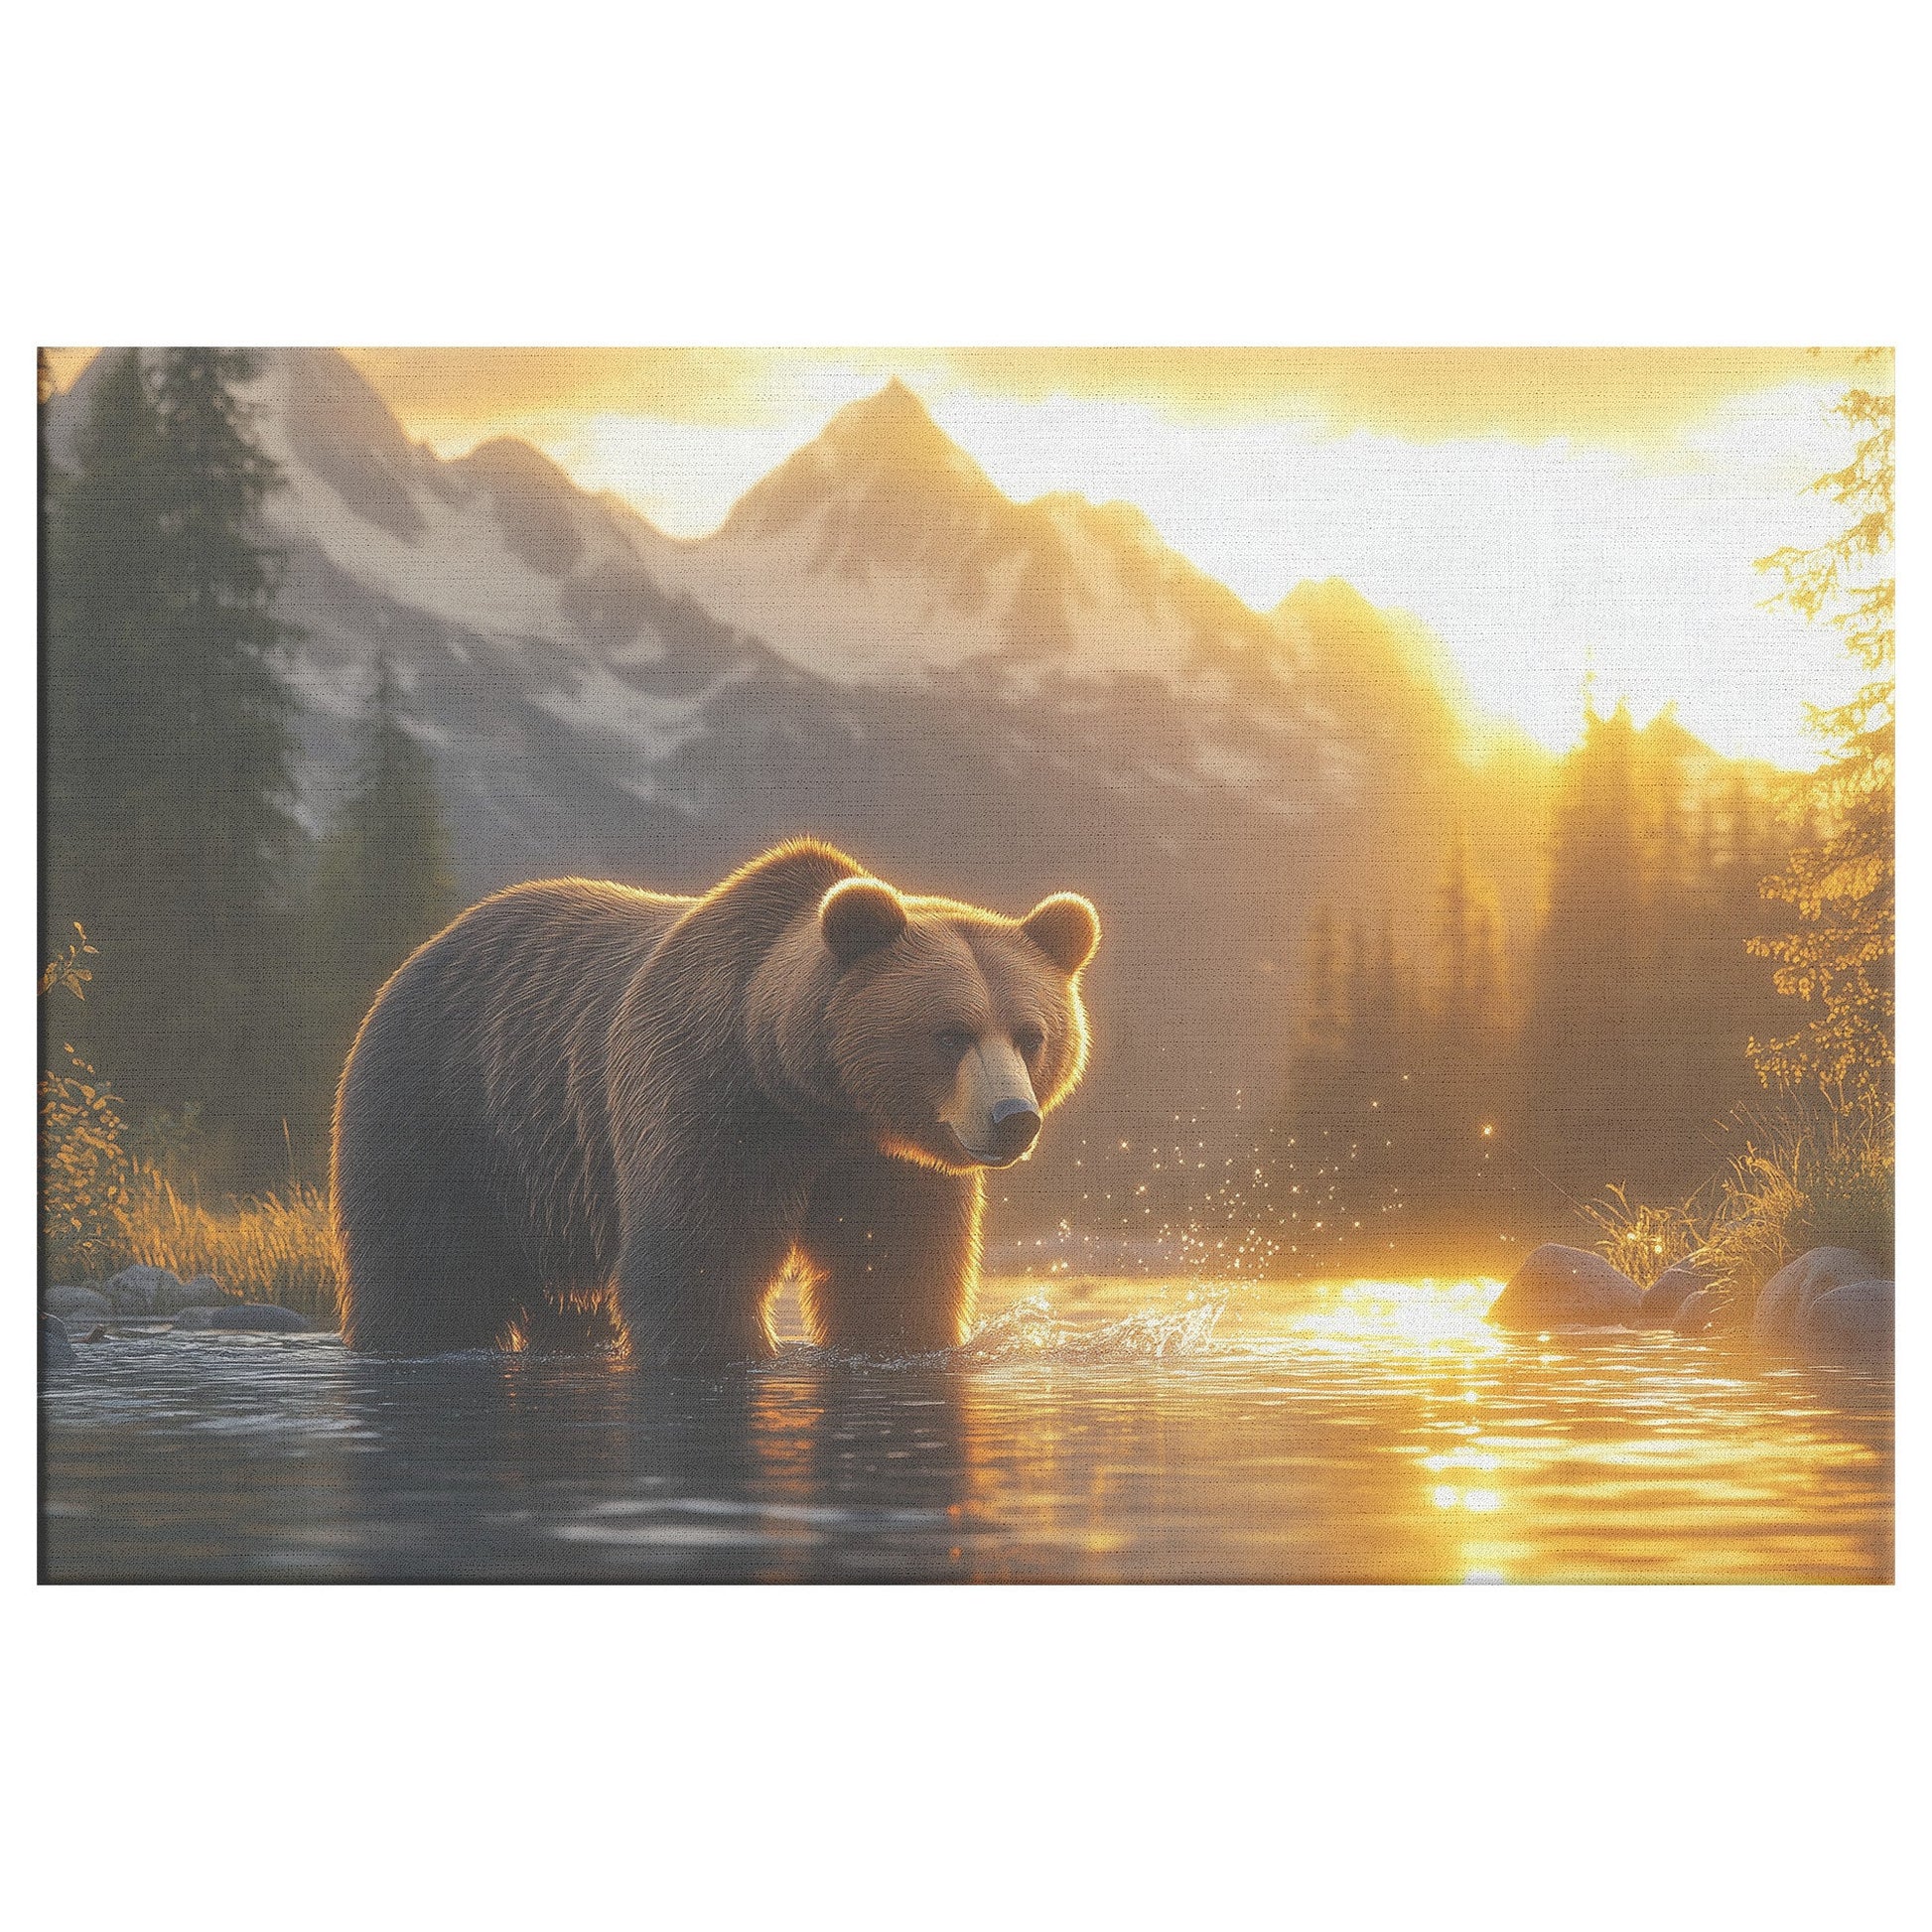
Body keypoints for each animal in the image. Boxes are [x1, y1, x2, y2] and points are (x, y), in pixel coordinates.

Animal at [331, 838, 1100, 1362]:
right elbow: (700, 1255)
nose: (1013, 1119)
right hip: (442, 1107)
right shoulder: (706, 1100)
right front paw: (725, 1347)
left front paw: (899, 1334)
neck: (810, 1092)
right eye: (950, 1034)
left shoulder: (886, 1160)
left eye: (1031, 1035)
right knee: (425, 1262)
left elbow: (897, 1267)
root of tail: (419, 955)